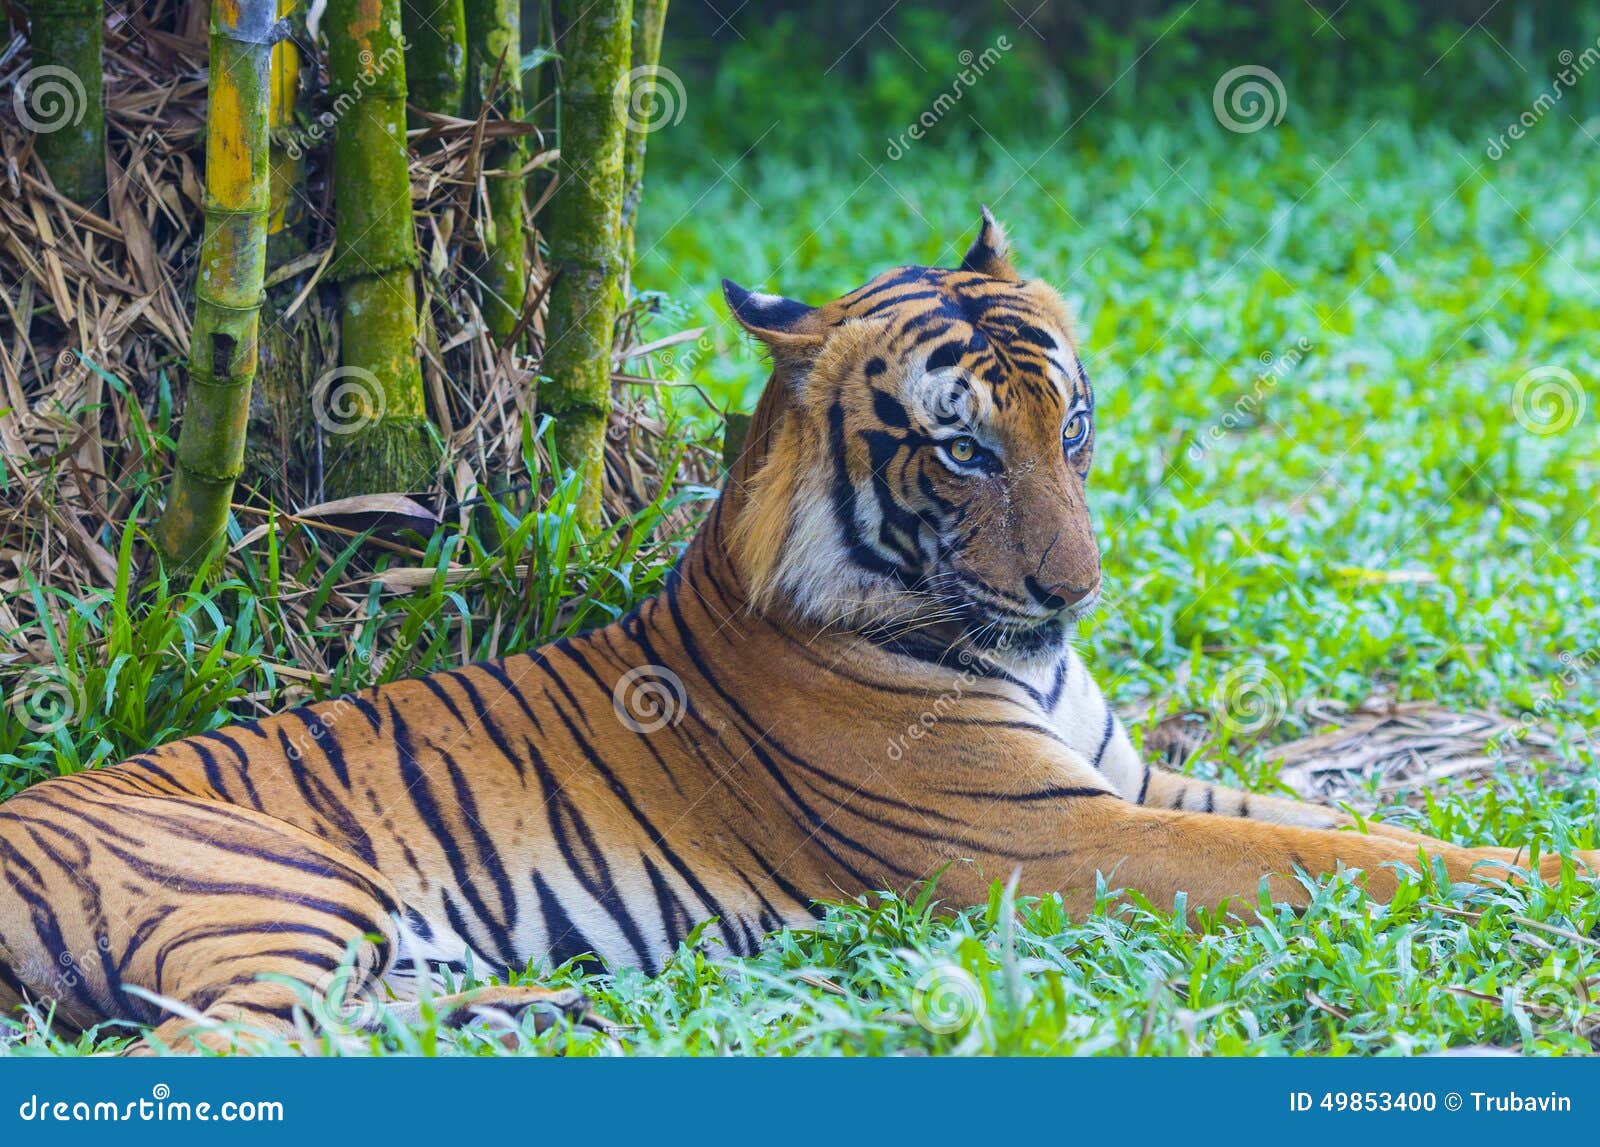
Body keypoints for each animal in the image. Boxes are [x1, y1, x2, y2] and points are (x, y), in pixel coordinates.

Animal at [2, 210, 1595, 1051]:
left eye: (1073, 426)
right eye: (964, 452)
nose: (1075, 593)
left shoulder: (1128, 782)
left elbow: (1360, 822)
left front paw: (1547, 866)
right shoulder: (1051, 840)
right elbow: (1342, 859)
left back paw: (569, 1006)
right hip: (279, 891)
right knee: (216, 1041)